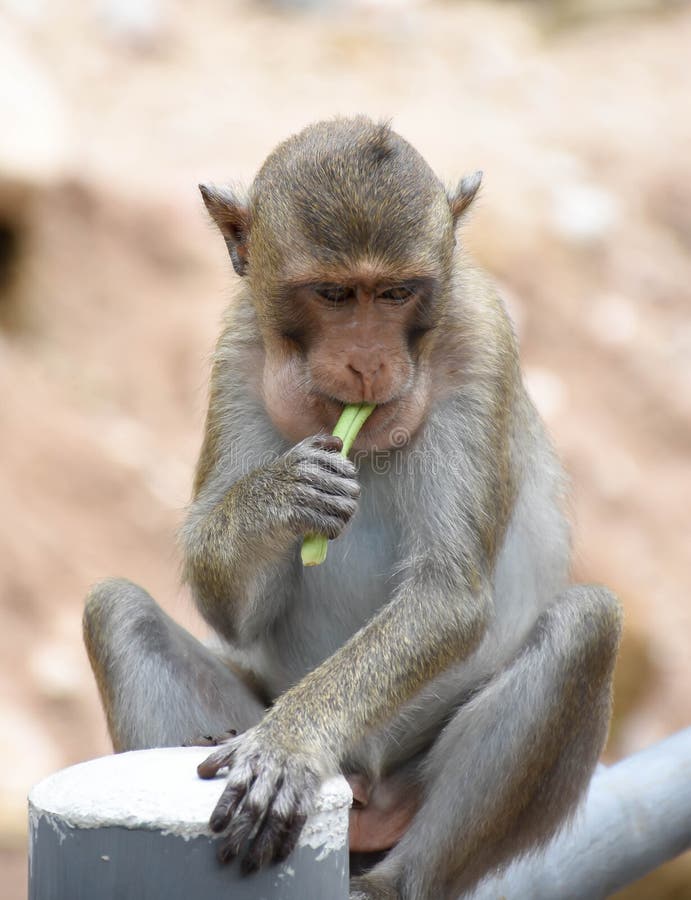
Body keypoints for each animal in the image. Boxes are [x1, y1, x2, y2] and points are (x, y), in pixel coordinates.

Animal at [83, 116, 622, 900]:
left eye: (396, 293)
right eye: (335, 295)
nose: (367, 362)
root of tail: (364, 802)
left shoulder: (481, 338)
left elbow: (446, 595)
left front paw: (290, 743)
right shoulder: (238, 349)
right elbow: (229, 611)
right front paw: (280, 497)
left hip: (408, 785)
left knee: (587, 625)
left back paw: (394, 881)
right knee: (117, 610)